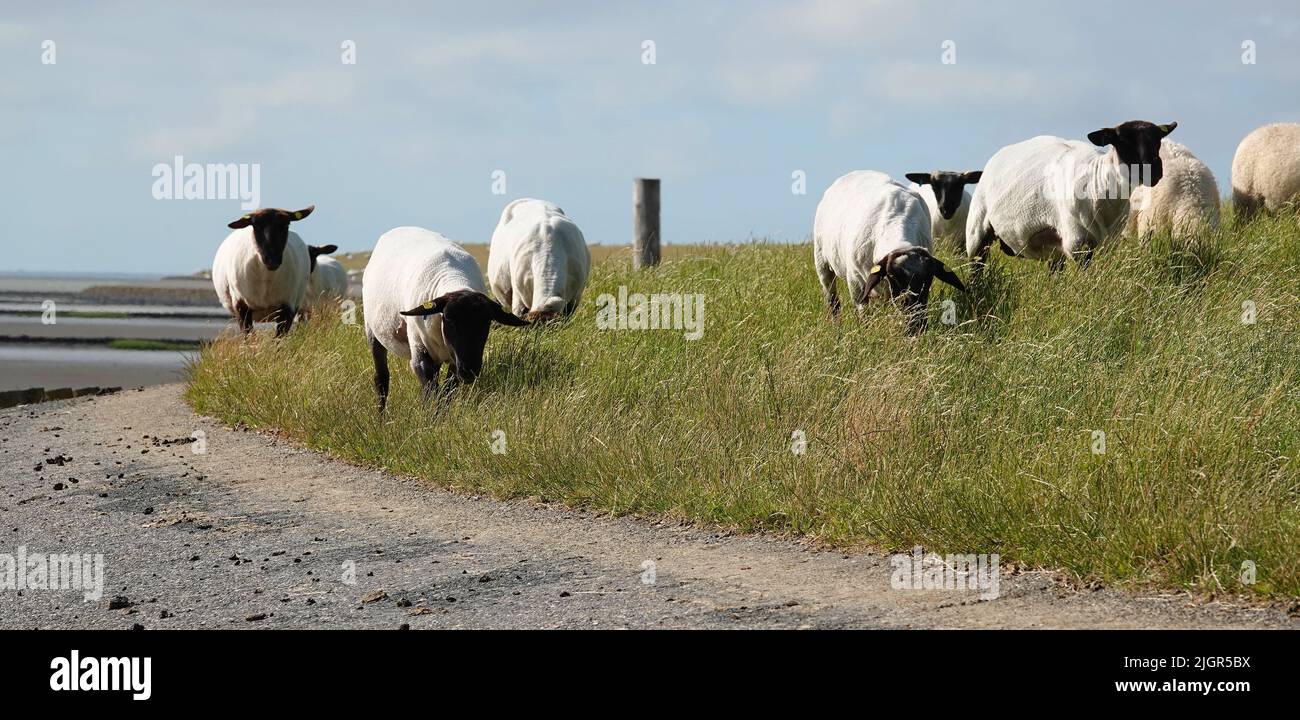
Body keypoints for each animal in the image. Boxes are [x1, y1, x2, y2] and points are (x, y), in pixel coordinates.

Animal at [212, 206, 315, 335]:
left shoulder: (288, 307)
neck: (266, 279)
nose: (272, 259)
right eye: (256, 225)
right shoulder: (241, 306)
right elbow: (248, 336)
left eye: (286, 225)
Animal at [362, 226, 530, 412]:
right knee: (382, 378)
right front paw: (430, 417)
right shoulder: (420, 351)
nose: (469, 371)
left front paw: (439, 415)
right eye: (449, 319)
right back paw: (381, 415)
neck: (455, 279)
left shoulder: (455, 360)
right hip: (373, 331)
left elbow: (447, 392)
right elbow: (431, 390)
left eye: (487, 321)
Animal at [813, 170, 966, 333]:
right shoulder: (855, 281)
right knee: (832, 300)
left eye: (930, 276)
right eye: (893, 275)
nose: (916, 325)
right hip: (822, 262)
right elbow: (863, 313)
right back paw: (836, 326)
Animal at [966, 120, 1177, 269]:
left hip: (1052, 249)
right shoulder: (1078, 244)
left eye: (1158, 141)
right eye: (1123, 141)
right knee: (976, 264)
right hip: (977, 229)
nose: (1154, 170)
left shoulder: (1109, 244)